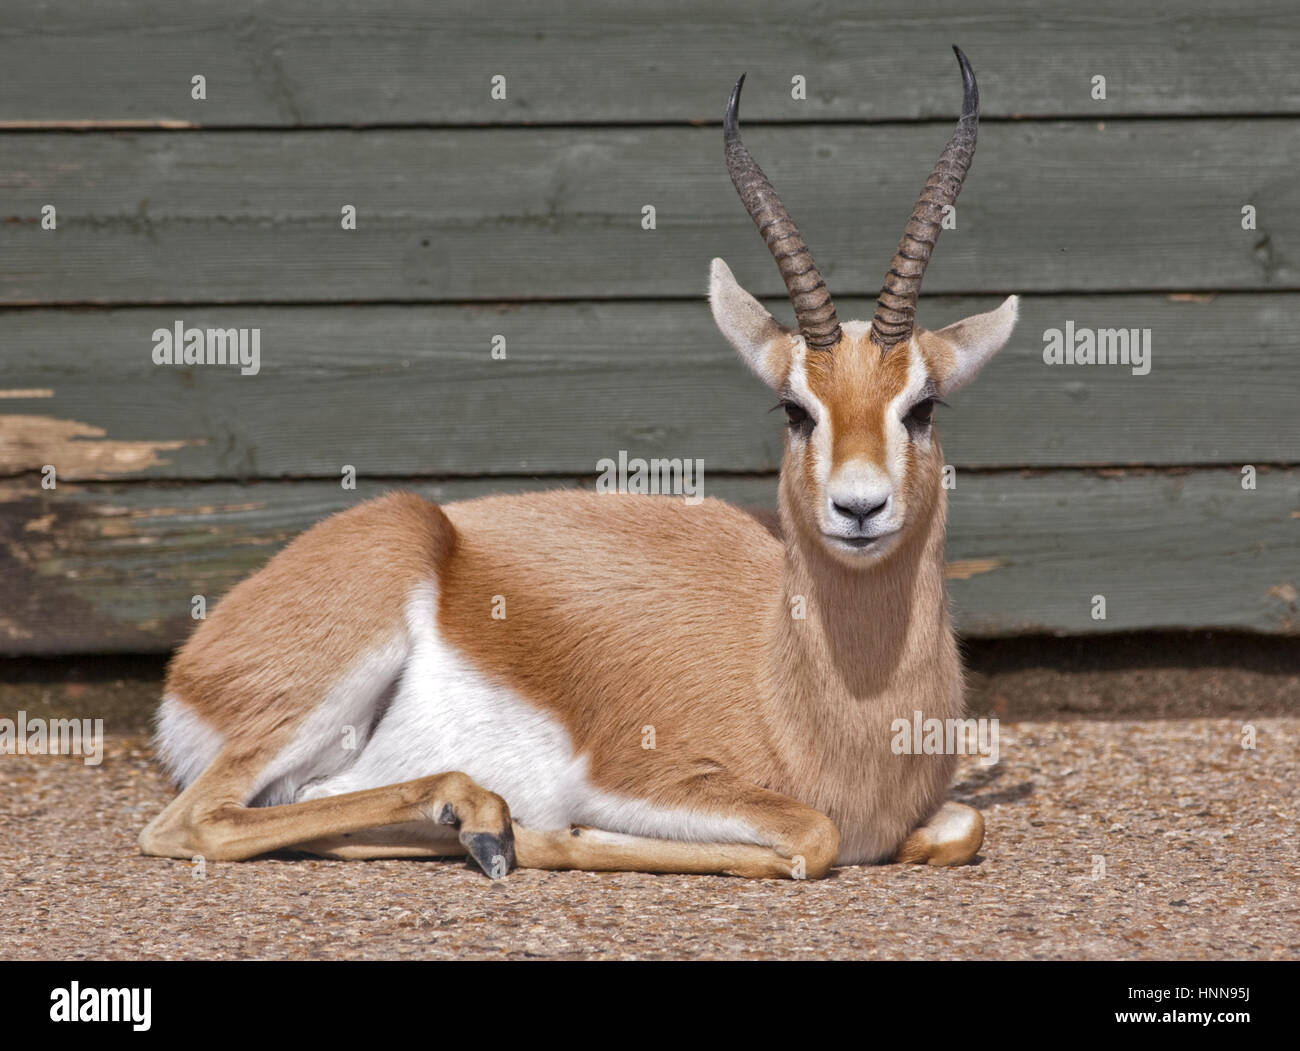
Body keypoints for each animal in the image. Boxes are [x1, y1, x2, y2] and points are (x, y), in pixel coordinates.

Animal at [140, 46, 1017, 880]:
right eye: (796, 409)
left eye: (923, 406)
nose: (858, 507)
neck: (788, 689)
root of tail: (192, 663)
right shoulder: (640, 777)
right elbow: (812, 832)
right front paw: (550, 834)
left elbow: (963, 826)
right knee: (193, 821)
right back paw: (483, 822)